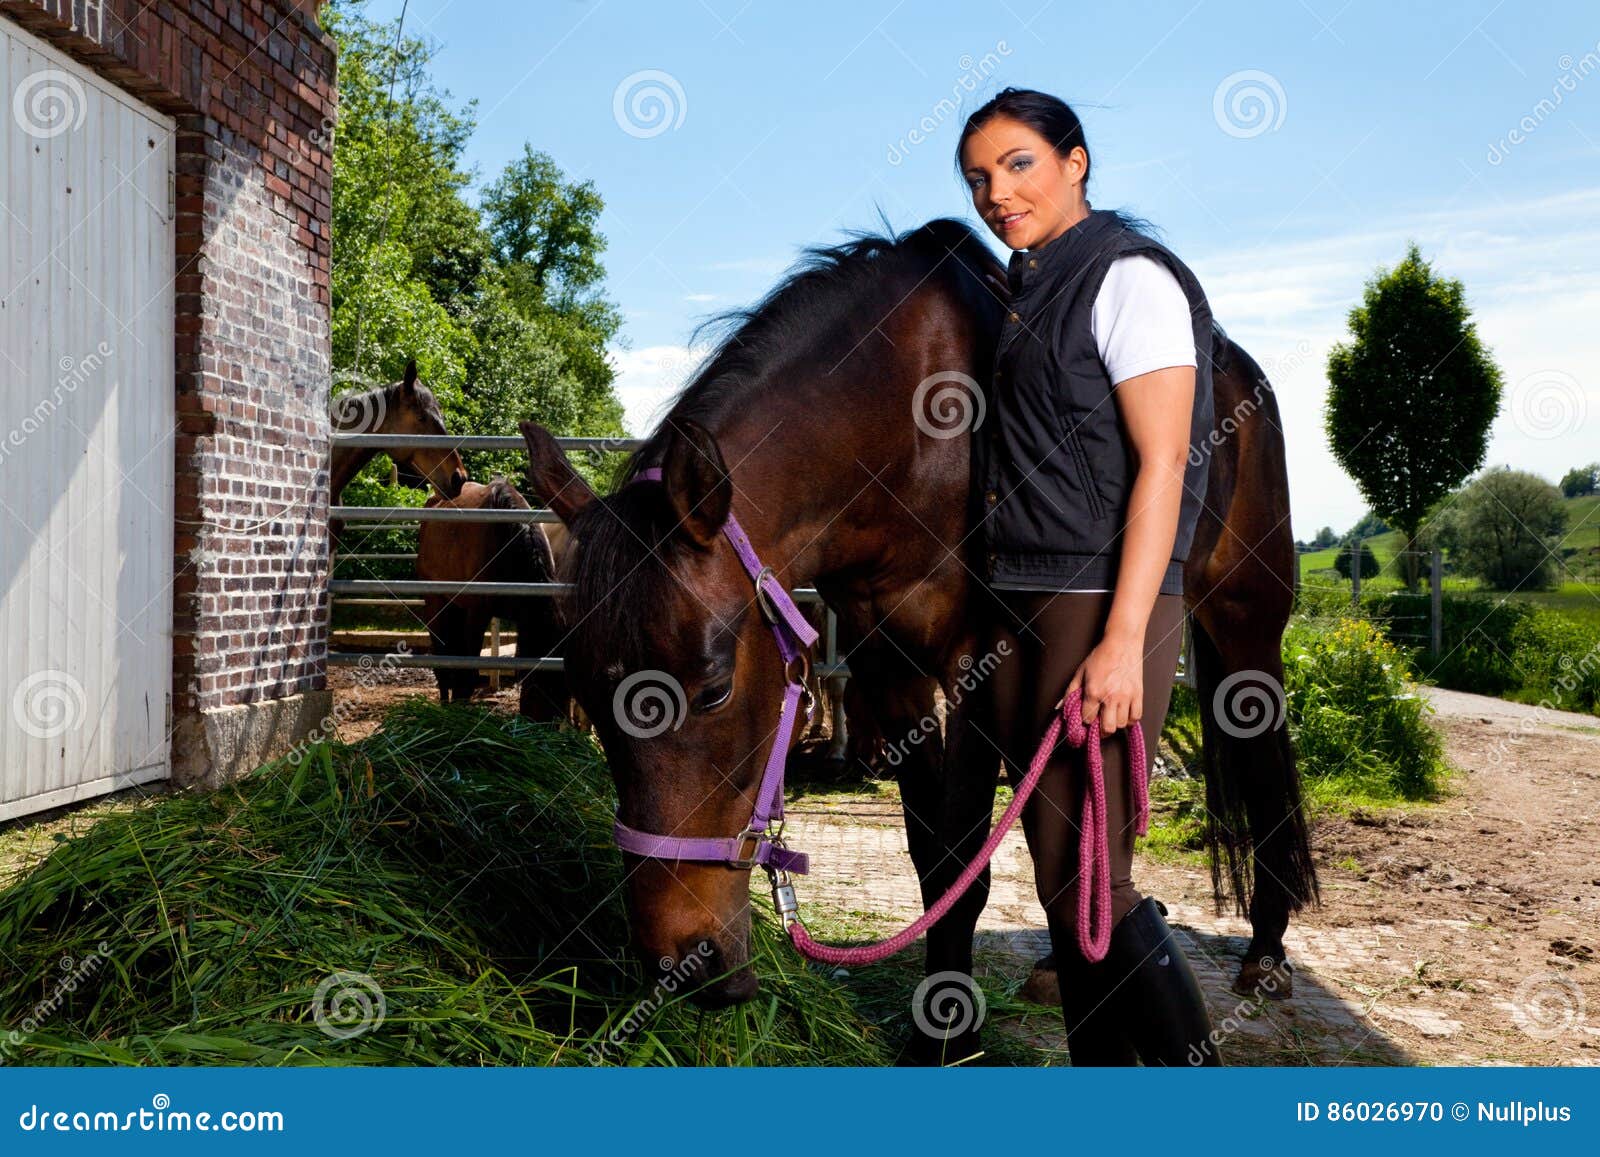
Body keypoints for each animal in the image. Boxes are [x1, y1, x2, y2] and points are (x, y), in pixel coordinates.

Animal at [416, 478, 569, 721]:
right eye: (546, 682)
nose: (545, 723)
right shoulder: (477, 614)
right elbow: (467, 675)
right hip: (437, 602)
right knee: (442, 659)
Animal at [516, 217, 1318, 1059]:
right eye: (586, 692)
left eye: (713, 688)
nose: (687, 962)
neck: (913, 436)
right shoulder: (889, 669)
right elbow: (938, 863)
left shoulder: (972, 666)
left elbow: (964, 865)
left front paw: (946, 1037)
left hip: (1244, 625)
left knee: (1261, 767)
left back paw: (1266, 949)